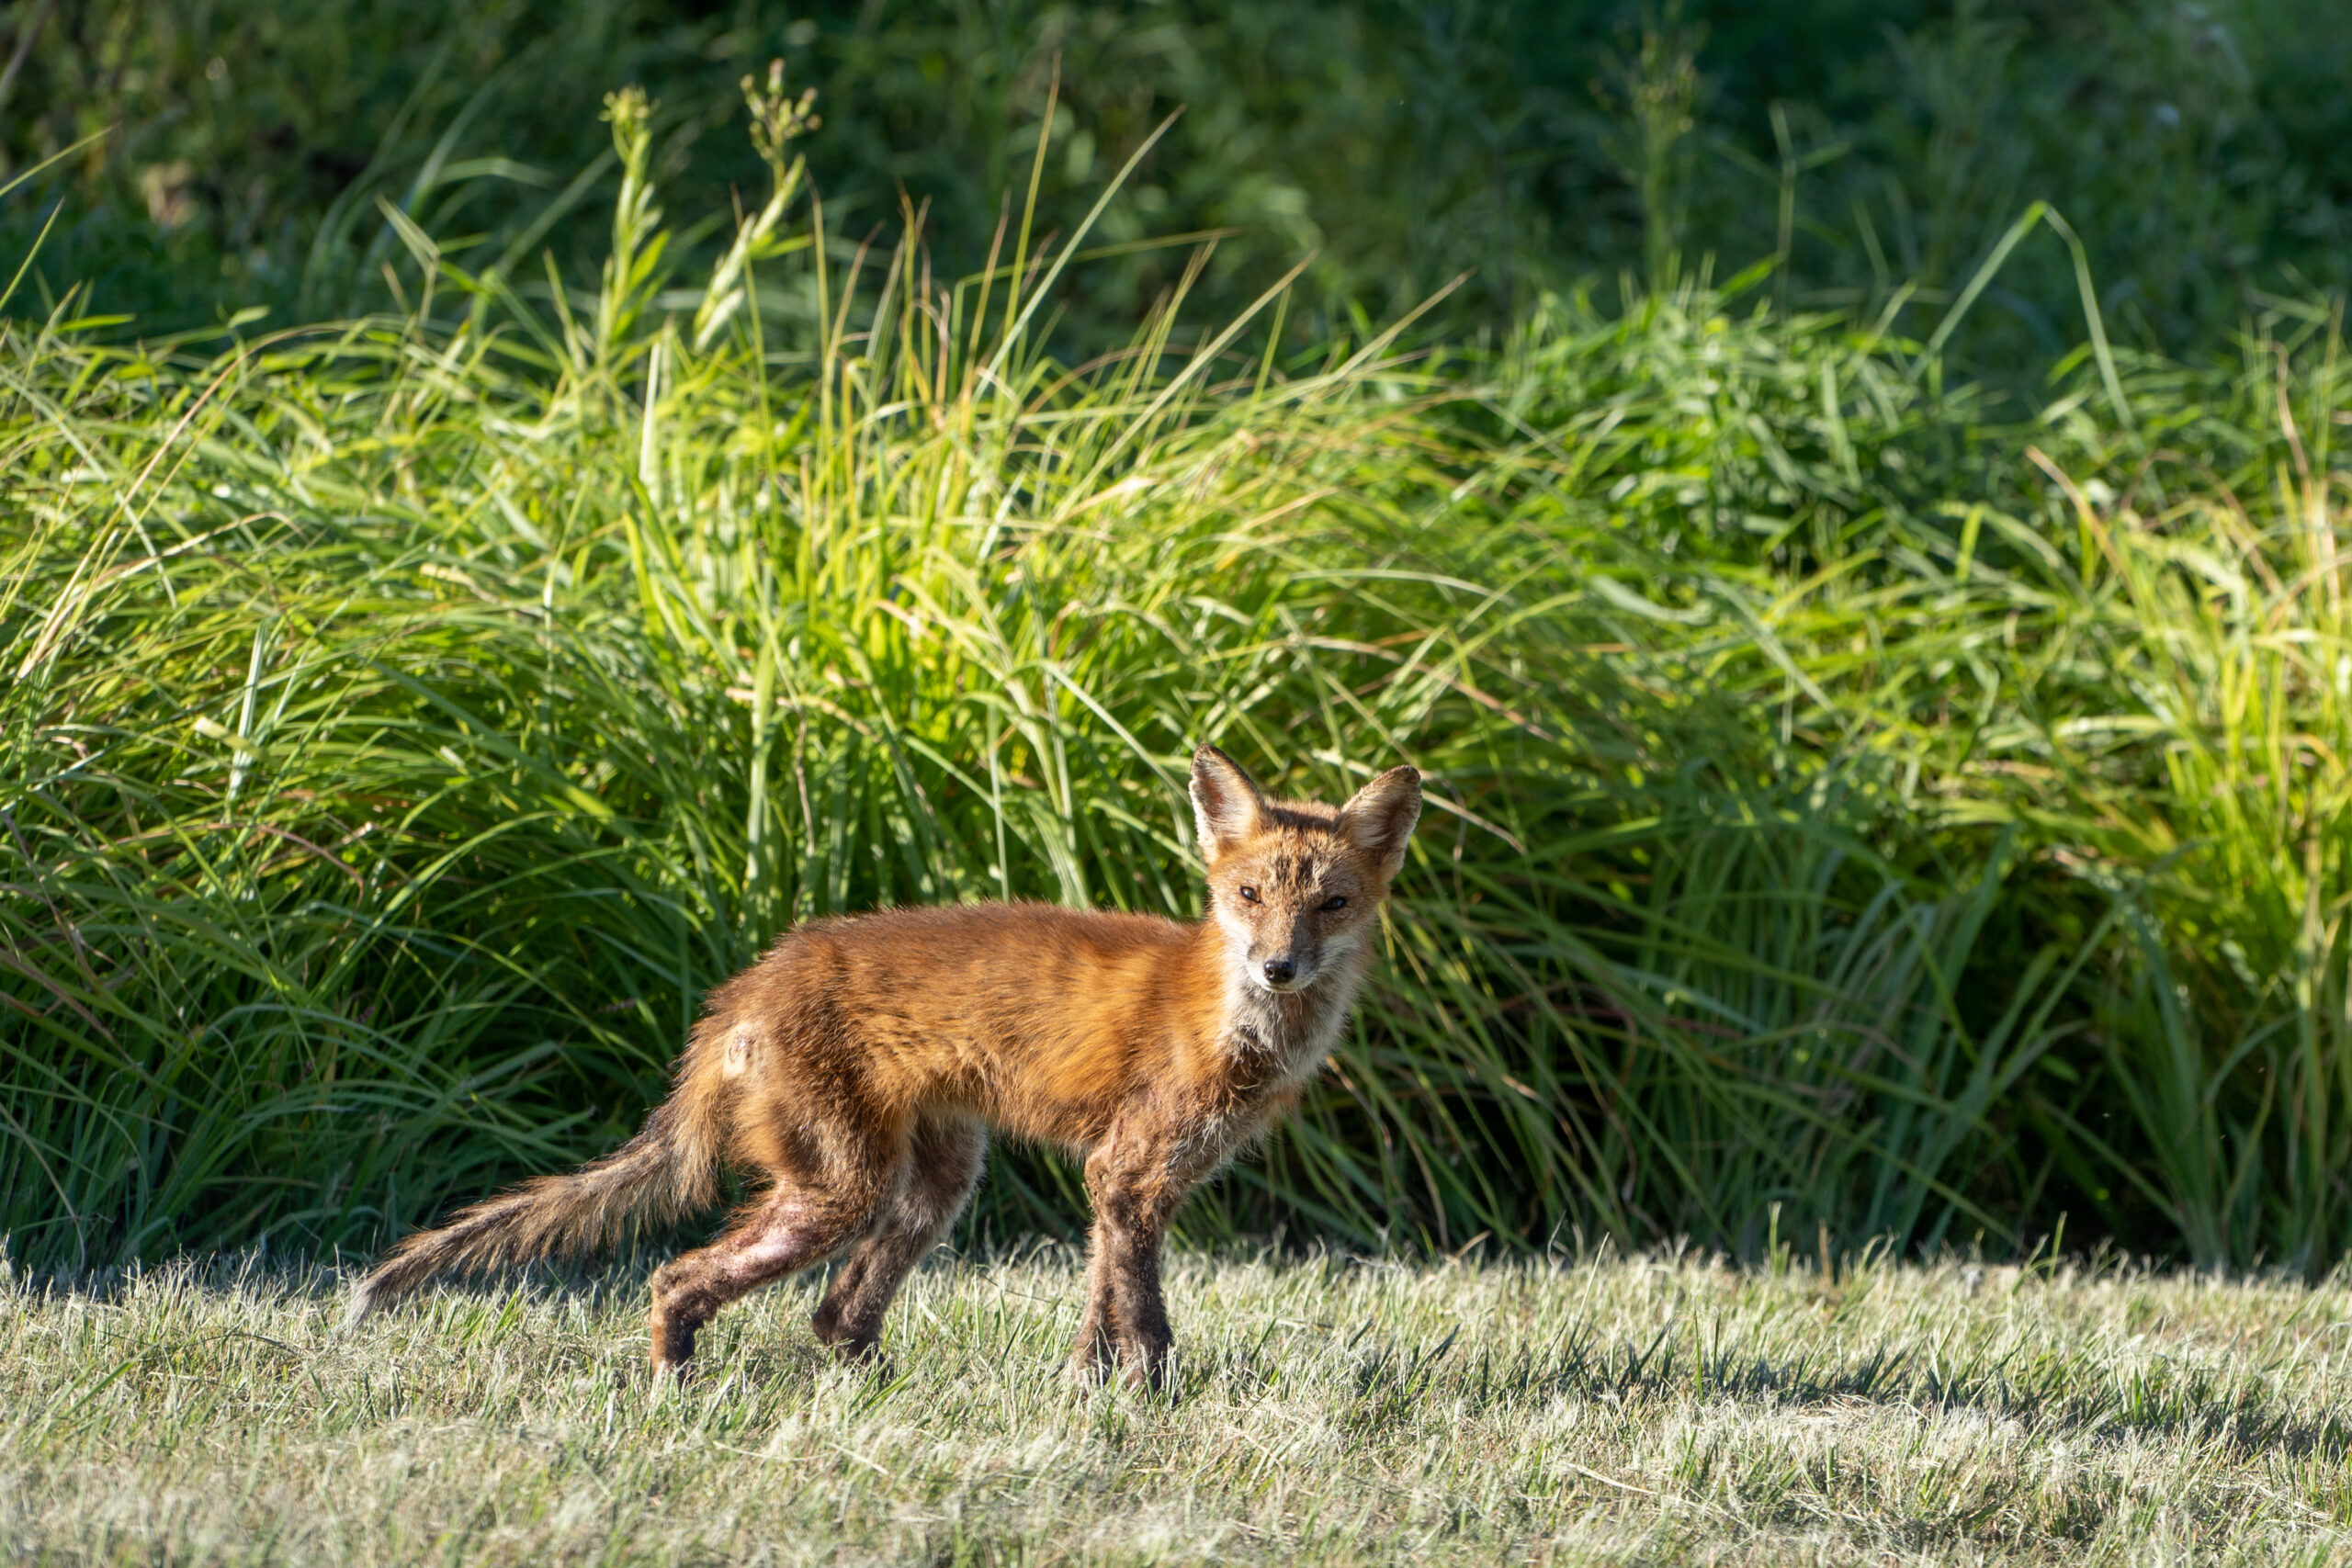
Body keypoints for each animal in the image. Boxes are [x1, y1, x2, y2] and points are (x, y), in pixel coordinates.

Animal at [347, 745, 1422, 1388]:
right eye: (1248, 896)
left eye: (1329, 904)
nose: (1278, 966)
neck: (1230, 1022)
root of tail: (753, 979)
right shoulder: (1127, 1171)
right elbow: (1142, 1320)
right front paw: (1154, 1401)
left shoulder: (1122, 1184)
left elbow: (1098, 1308)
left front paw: (1088, 1395)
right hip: (838, 1190)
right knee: (675, 1277)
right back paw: (674, 1393)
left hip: (928, 1187)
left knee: (834, 1316)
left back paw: (865, 1392)